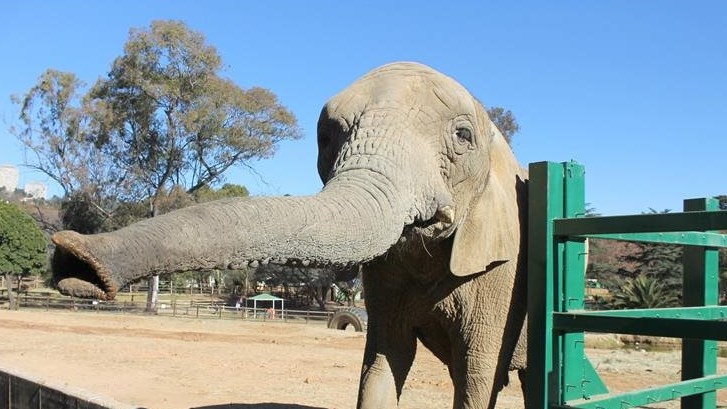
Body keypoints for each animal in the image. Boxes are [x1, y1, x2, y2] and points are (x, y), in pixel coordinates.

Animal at [50, 62, 528, 409]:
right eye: (326, 138)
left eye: (463, 136)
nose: (73, 263)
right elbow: (383, 360)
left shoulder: (503, 279)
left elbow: (476, 375)